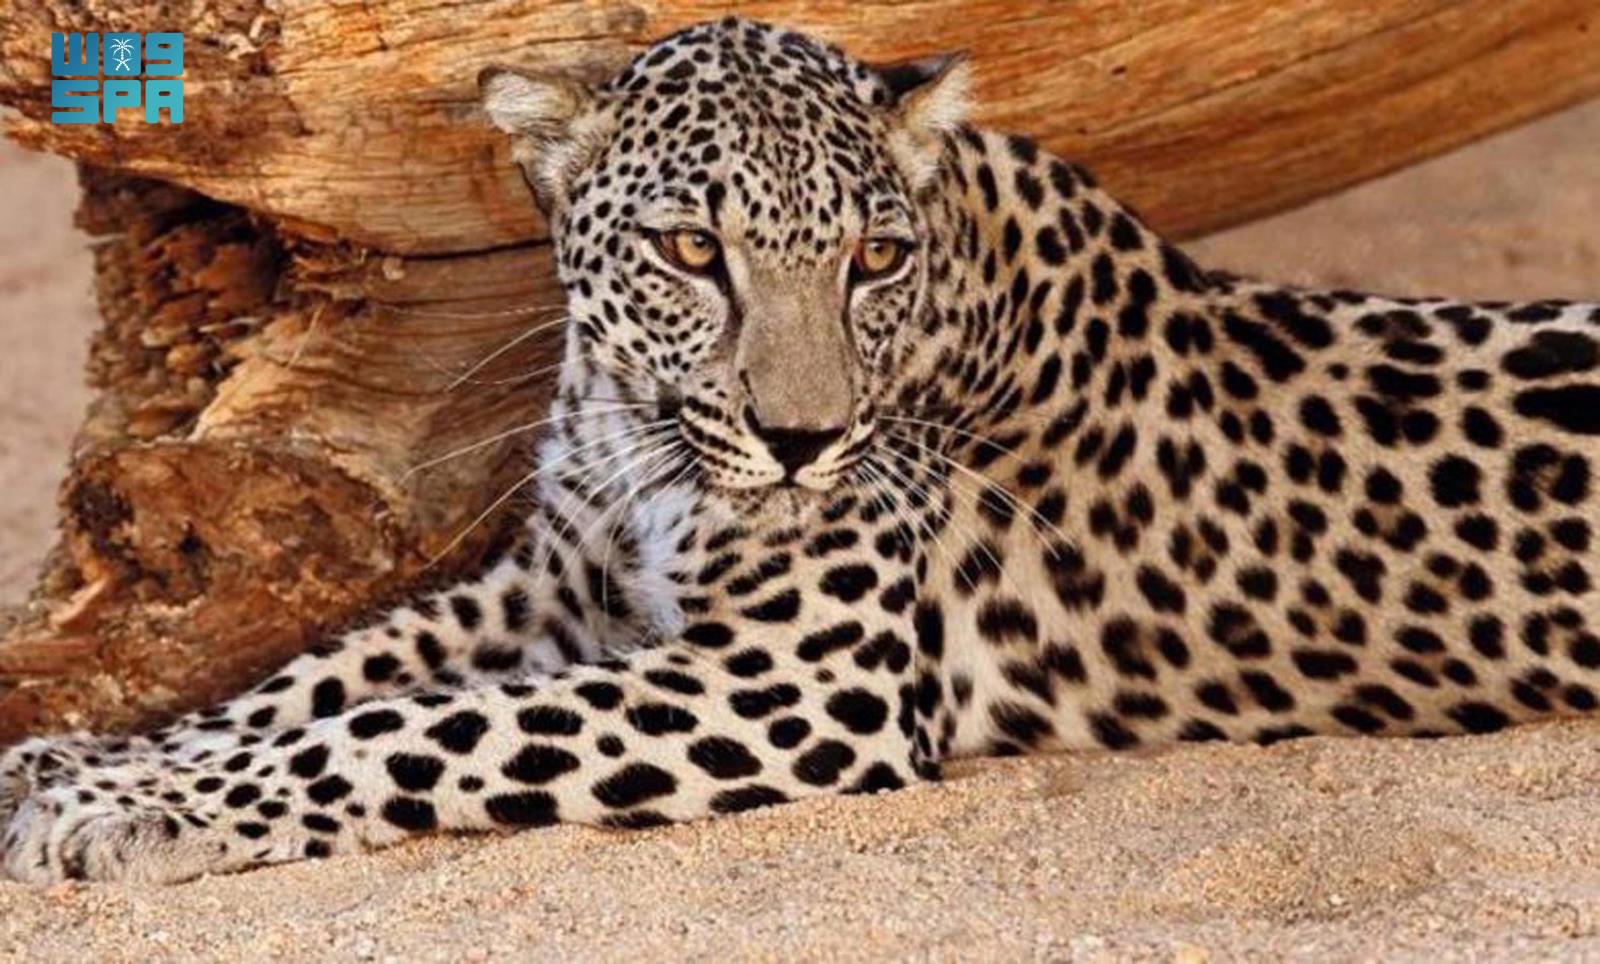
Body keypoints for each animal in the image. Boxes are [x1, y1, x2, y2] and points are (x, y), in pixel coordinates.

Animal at [3, 17, 1598, 885]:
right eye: (689, 250)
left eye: (872, 257)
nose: (801, 440)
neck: (640, 430)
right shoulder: (548, 587)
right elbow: (324, 673)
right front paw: (86, 757)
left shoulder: (801, 681)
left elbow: (412, 727)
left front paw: (130, 810)